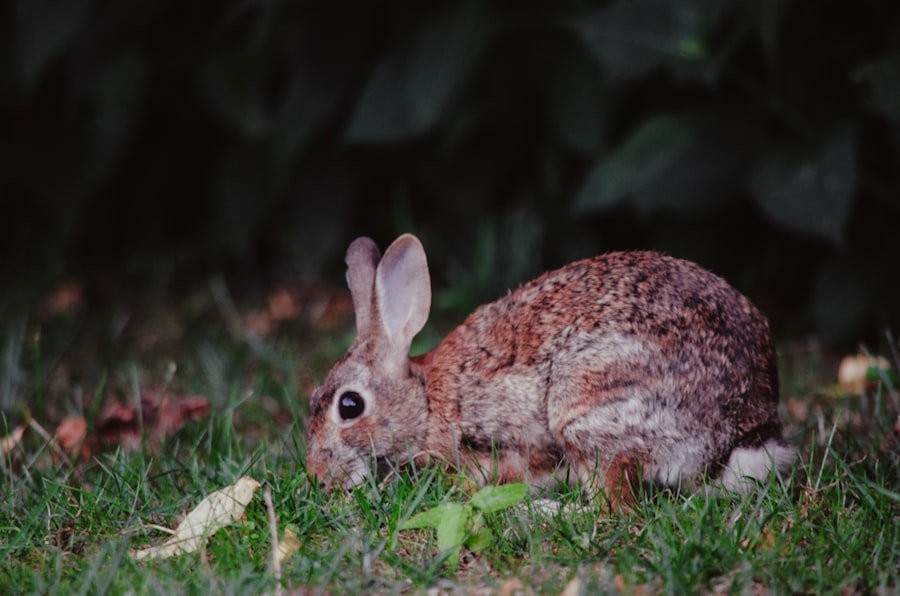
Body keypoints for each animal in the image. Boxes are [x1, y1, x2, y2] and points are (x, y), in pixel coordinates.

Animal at [305, 233, 796, 506]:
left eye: (350, 406)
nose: (315, 475)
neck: (426, 403)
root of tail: (741, 432)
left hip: (586, 413)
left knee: (613, 511)